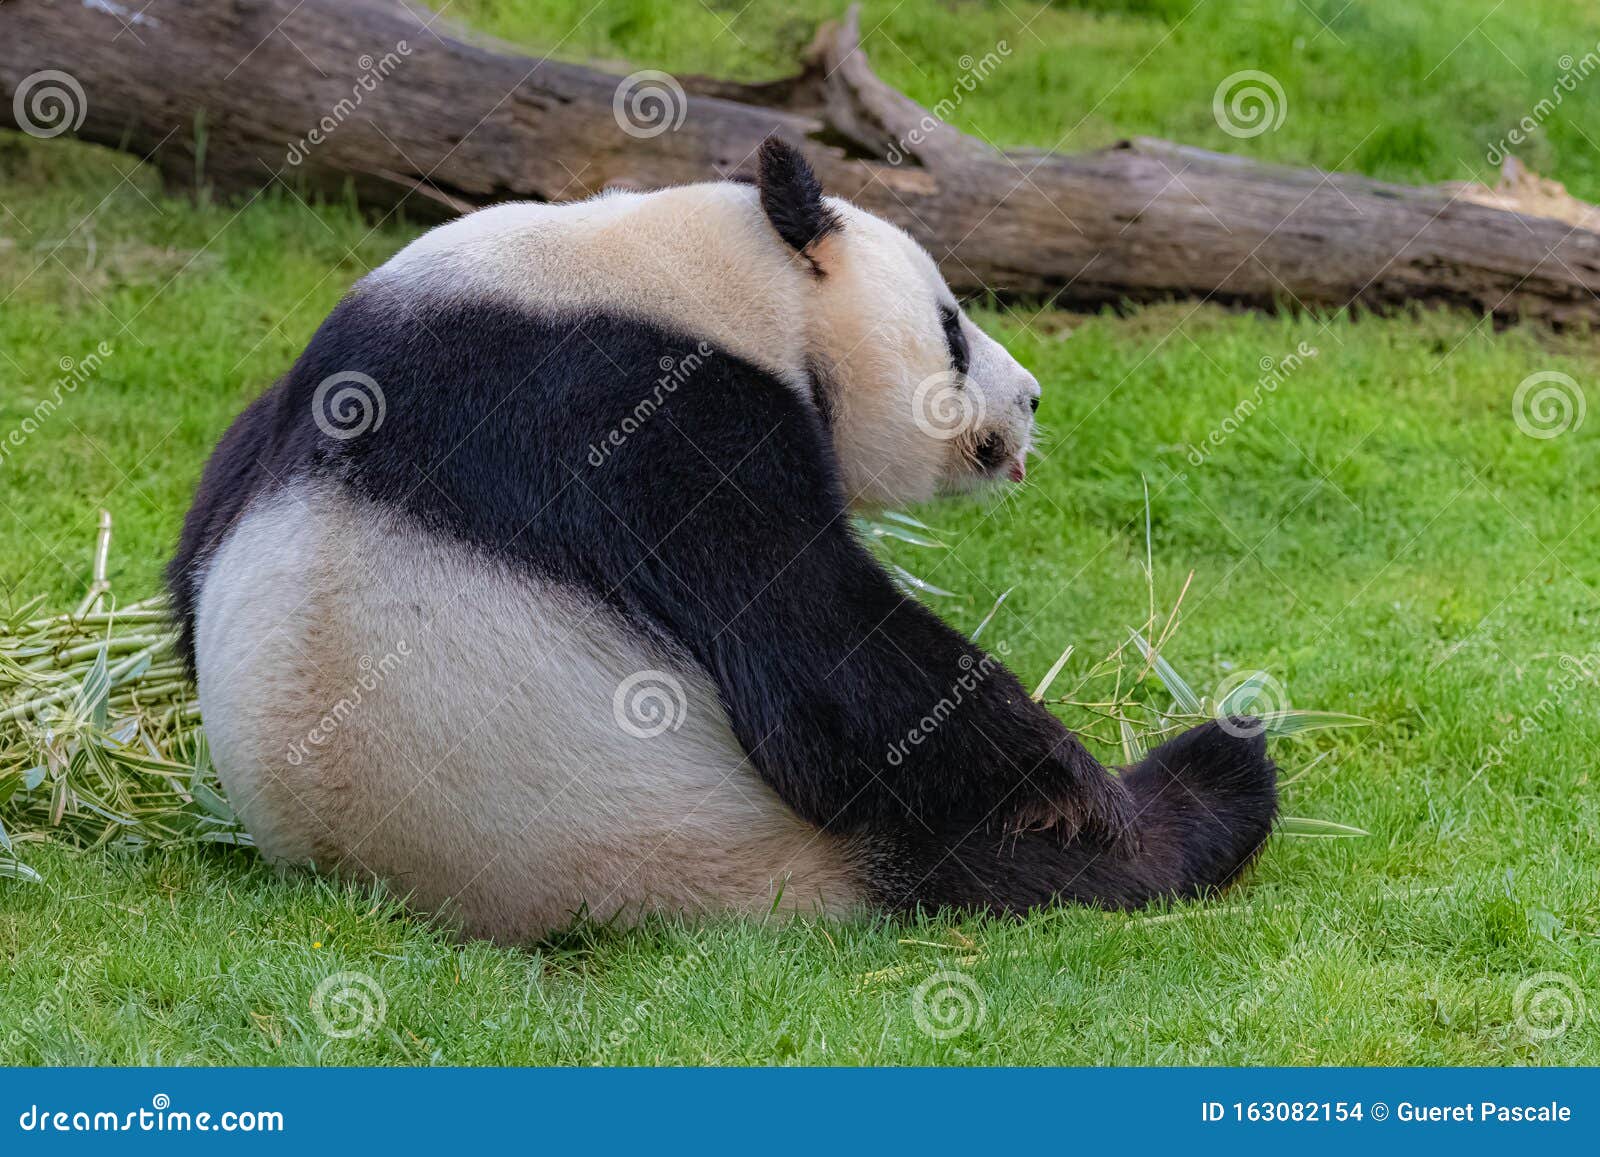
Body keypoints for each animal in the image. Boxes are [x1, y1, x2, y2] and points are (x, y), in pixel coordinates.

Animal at [168, 139, 1278, 942]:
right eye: (953, 329)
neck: (688, 268)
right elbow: (818, 654)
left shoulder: (329, 366)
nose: (1032, 398)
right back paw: (1206, 776)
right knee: (1036, 857)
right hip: (756, 846)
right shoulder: (654, 418)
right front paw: (1076, 781)